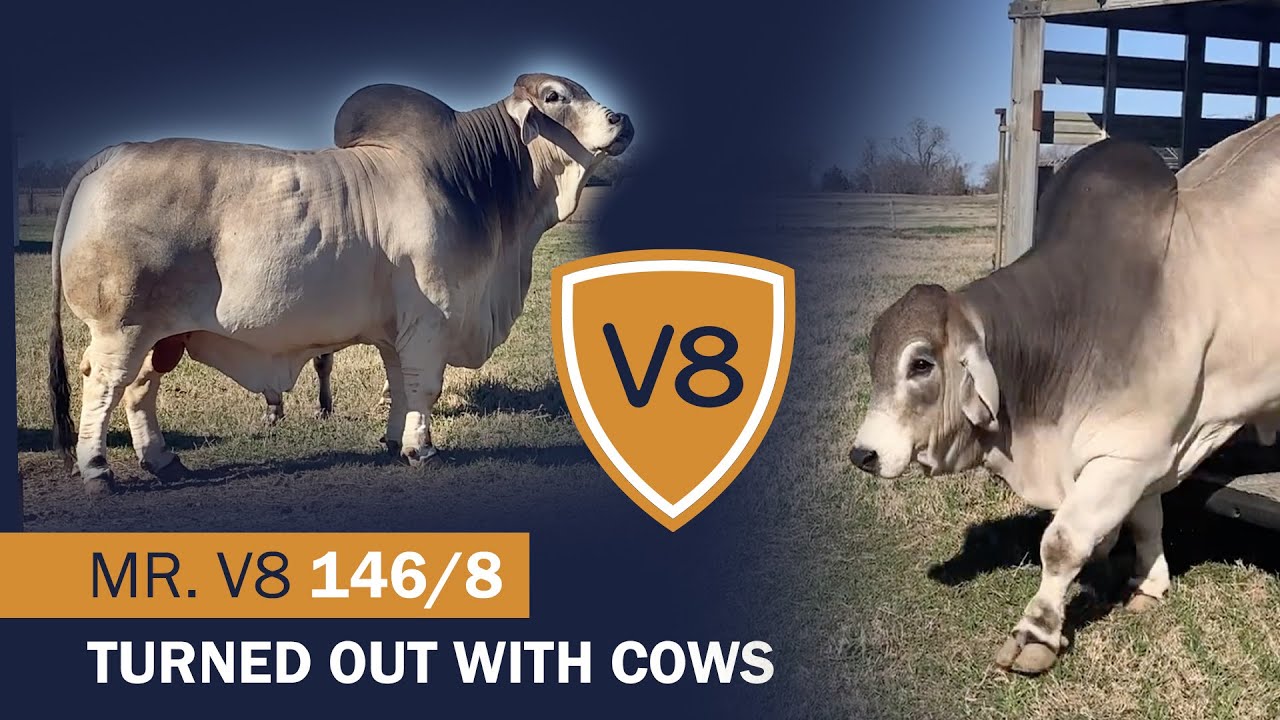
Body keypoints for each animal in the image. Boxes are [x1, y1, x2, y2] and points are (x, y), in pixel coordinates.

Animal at [48, 72, 633, 494]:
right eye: (556, 96)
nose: (621, 118)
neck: (475, 183)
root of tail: (114, 153)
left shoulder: (398, 327)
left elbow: (400, 382)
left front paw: (395, 440)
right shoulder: (433, 316)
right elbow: (426, 383)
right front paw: (423, 450)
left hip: (162, 332)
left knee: (140, 389)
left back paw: (164, 461)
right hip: (123, 325)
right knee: (105, 385)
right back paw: (98, 470)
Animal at [847, 118, 1280, 676]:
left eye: (920, 363)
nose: (863, 454)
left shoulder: (1128, 450)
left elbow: (1063, 542)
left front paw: (1036, 634)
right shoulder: (1149, 453)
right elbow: (1147, 520)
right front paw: (1148, 585)